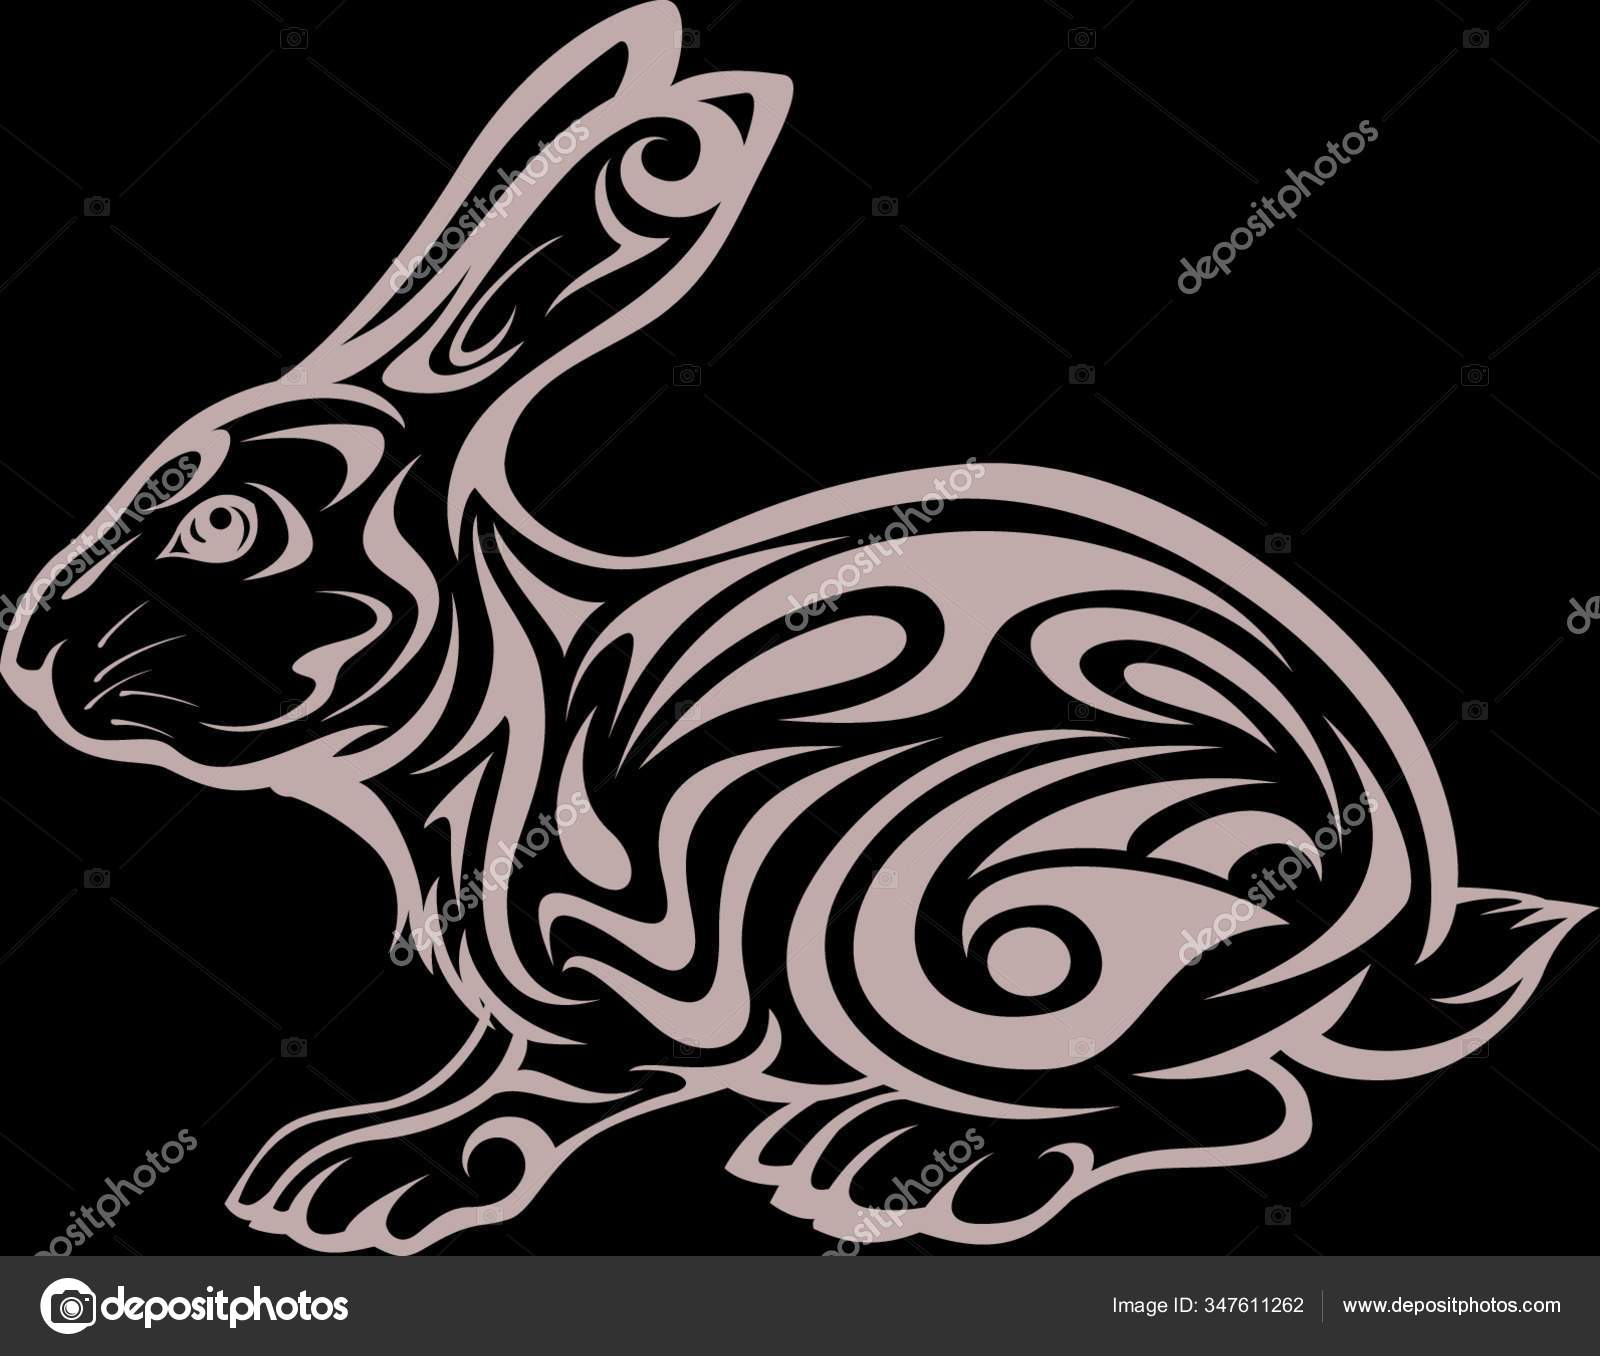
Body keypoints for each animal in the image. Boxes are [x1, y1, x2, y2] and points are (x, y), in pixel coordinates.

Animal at [3, 2, 1591, 1254]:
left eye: (228, 525)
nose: (28, 659)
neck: (510, 705)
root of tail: (1386, 906)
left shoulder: (636, 984)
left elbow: (536, 1088)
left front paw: (365, 1180)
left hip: (994, 918)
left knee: (1230, 1098)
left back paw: (899, 1164)